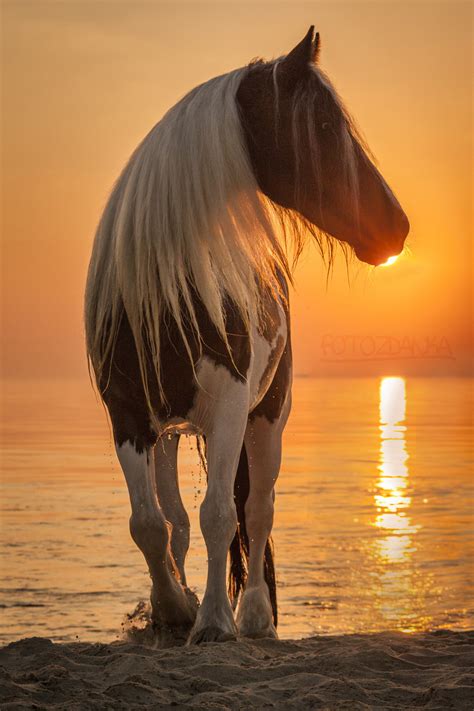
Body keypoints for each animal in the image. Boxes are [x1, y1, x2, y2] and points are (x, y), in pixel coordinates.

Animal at [85, 26, 409, 645]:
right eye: (324, 125)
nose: (397, 227)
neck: (169, 287)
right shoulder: (127, 414)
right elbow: (150, 524)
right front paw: (173, 609)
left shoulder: (233, 404)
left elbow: (222, 515)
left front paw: (215, 620)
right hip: (172, 432)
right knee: (178, 519)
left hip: (267, 415)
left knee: (257, 510)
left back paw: (255, 614)